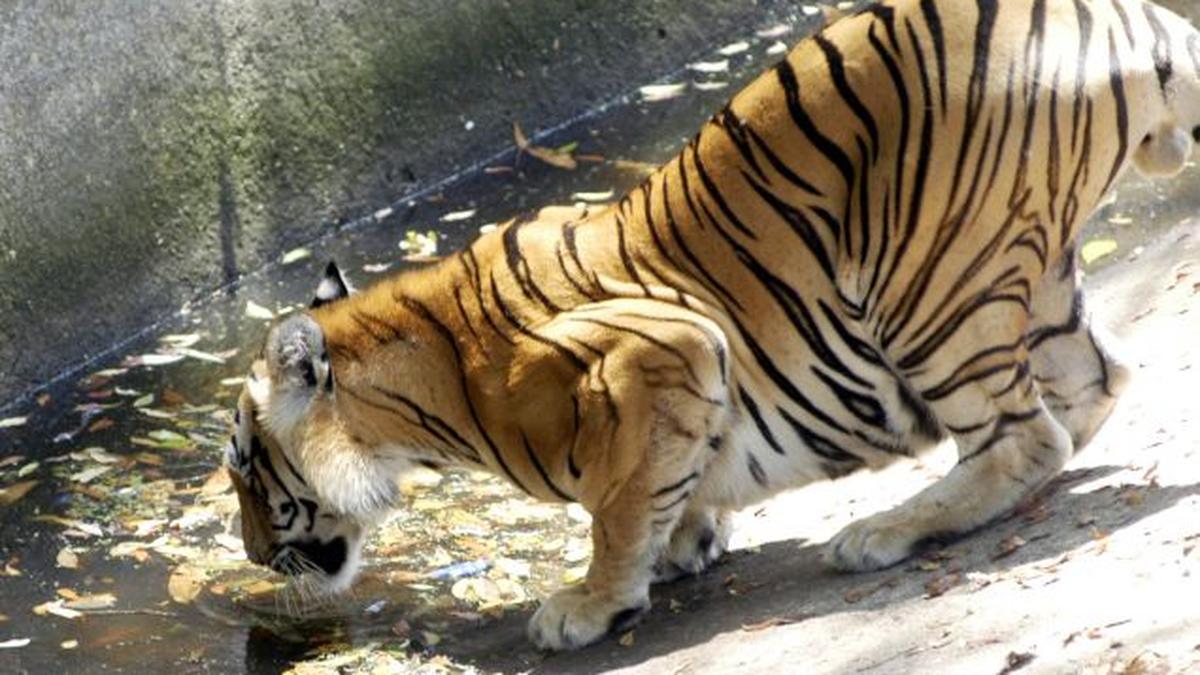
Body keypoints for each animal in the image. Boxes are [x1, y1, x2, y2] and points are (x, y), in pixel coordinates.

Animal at [224, 0, 1200, 651]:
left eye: (244, 468)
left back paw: (879, 532)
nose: (253, 554)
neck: (423, 394)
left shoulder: (670, 346)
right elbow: (655, 484)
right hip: (1030, 278)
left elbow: (616, 507)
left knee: (1025, 435)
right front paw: (683, 540)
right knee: (1094, 384)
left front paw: (590, 601)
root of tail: (1127, 17)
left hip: (925, 280)